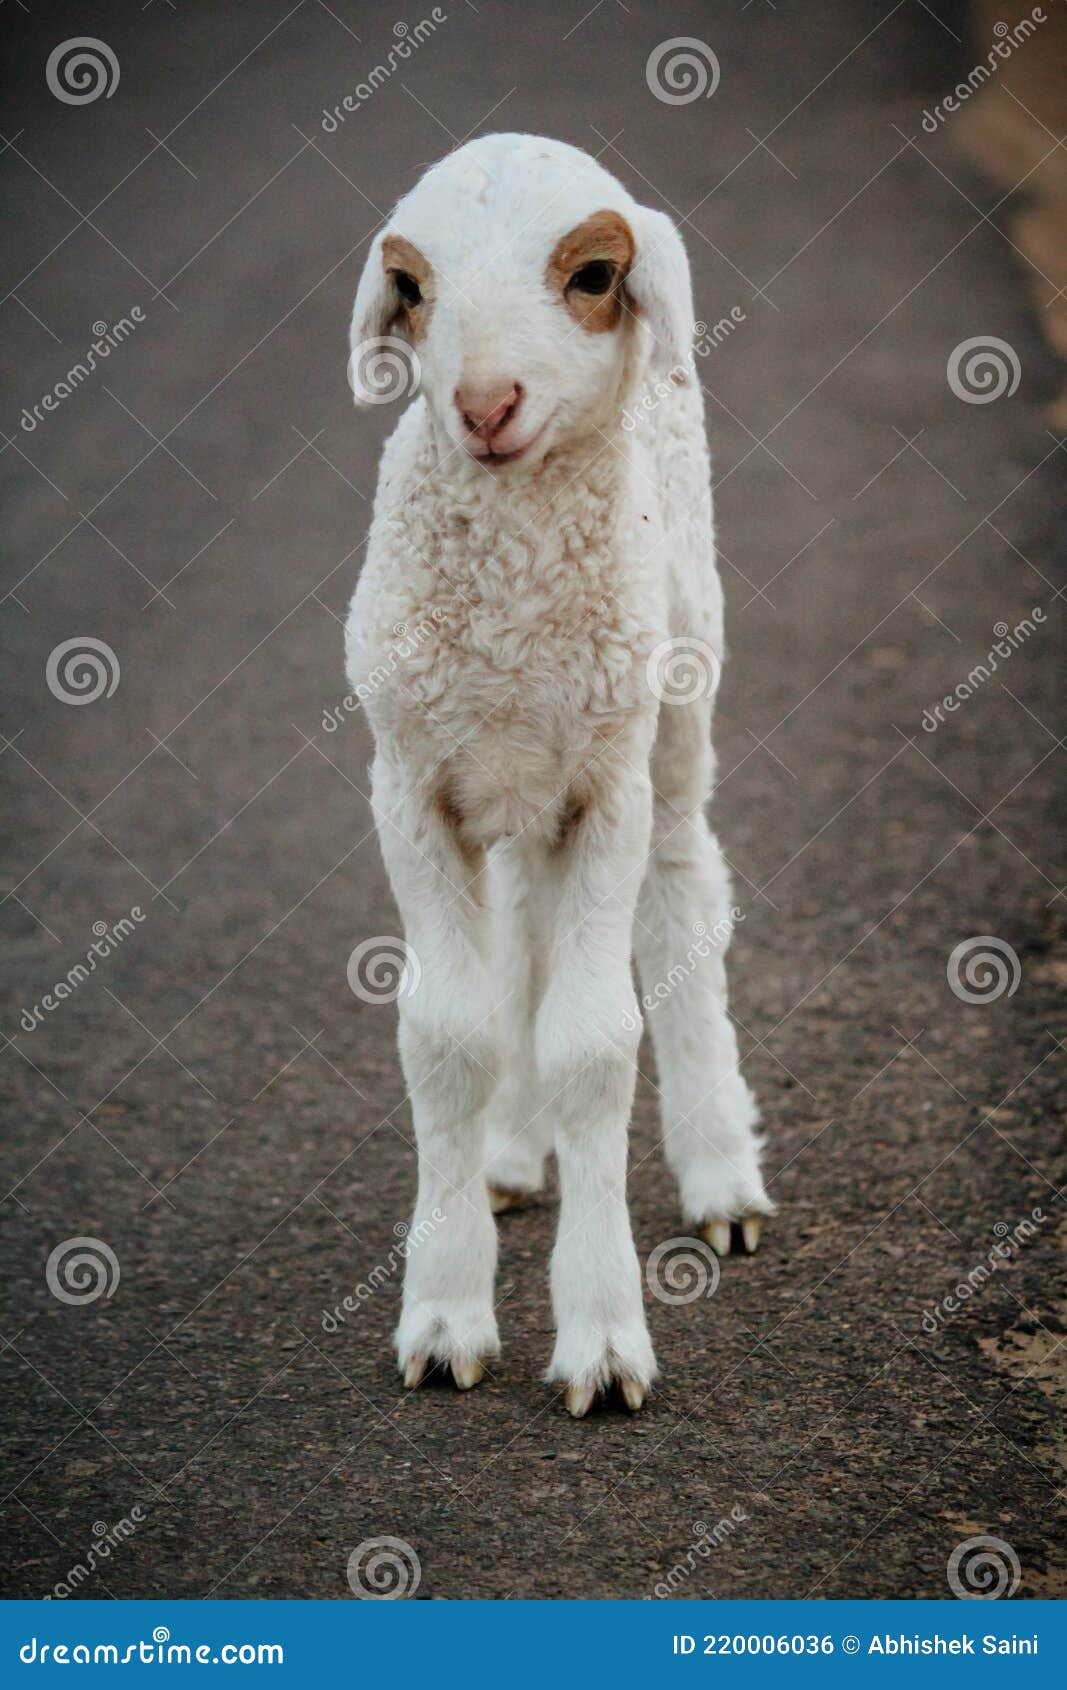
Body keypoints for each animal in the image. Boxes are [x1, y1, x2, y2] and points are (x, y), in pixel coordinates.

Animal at [344, 133, 773, 1416]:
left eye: (589, 277)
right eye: (413, 289)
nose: (484, 408)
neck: (512, 613)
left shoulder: (605, 793)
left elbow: (591, 1044)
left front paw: (602, 1336)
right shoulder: (412, 788)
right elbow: (450, 1033)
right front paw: (444, 1316)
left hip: (667, 726)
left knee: (683, 894)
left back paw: (719, 1169)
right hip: (518, 788)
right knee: (519, 945)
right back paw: (505, 1153)